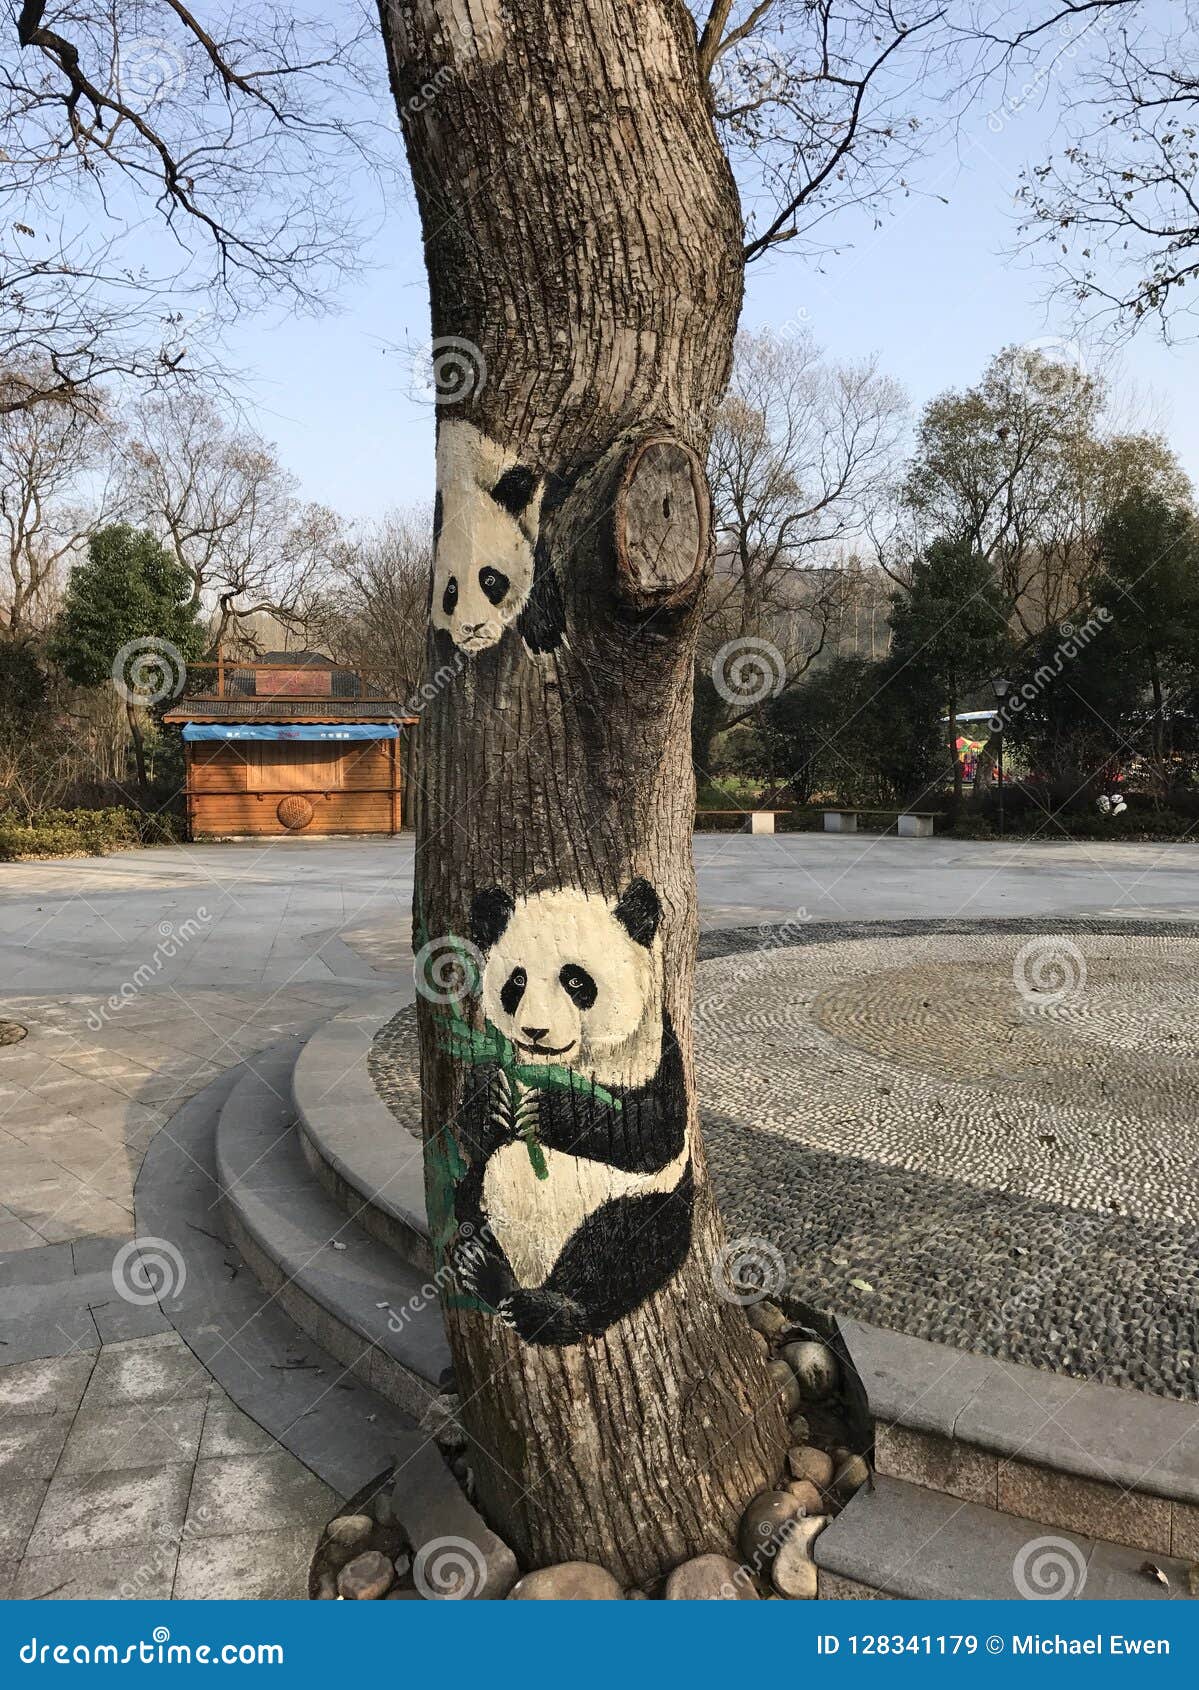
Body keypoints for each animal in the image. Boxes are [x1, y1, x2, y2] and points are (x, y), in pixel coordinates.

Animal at [449, 877, 693, 1346]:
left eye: (576, 980)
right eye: (517, 981)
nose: (535, 1031)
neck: (556, 1066)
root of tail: (533, 1270)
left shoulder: (656, 1057)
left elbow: (652, 1130)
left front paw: (545, 1110)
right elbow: (471, 1122)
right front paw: (494, 1101)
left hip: (640, 1204)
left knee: (619, 1254)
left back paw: (540, 1307)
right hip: (483, 1194)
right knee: (466, 1204)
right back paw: (479, 1266)